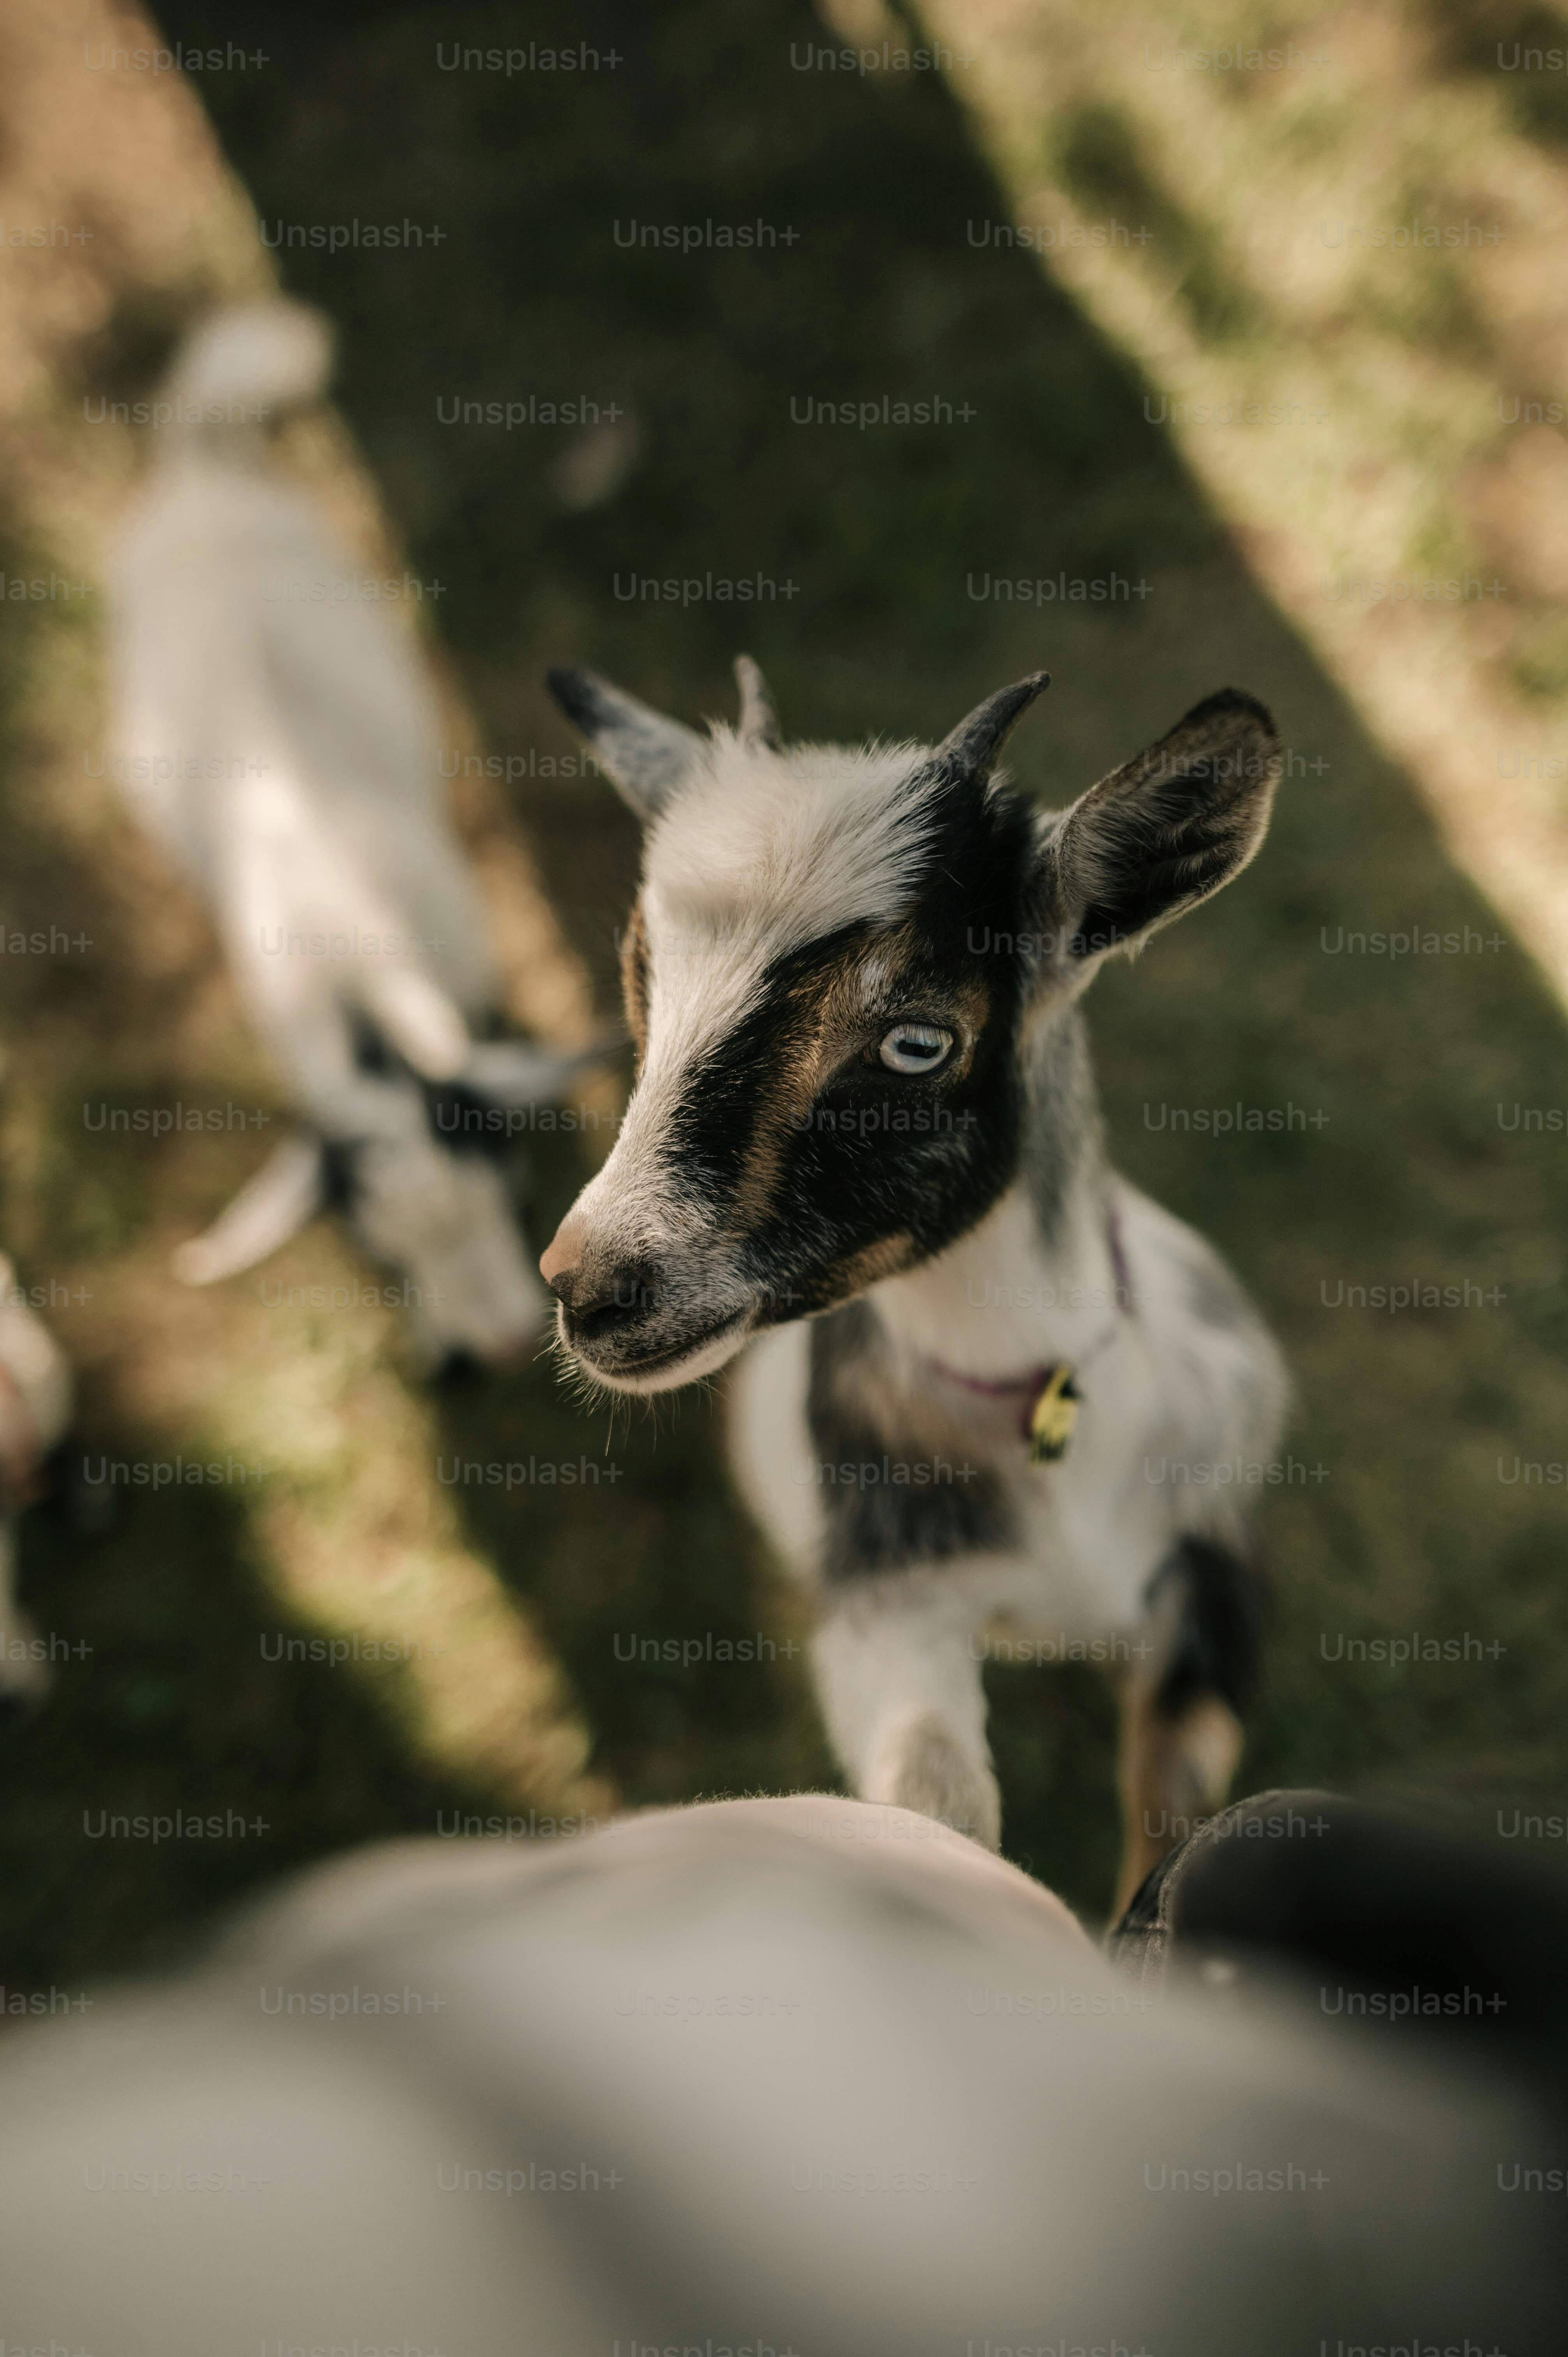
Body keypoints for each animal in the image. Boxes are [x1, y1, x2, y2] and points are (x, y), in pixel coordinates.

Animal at [542, 657, 1288, 1910]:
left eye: (915, 1043)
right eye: (643, 973)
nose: (588, 1284)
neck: (1034, 1416)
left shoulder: (1216, 1557)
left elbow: (1179, 1798)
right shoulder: (885, 1611)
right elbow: (933, 1788)